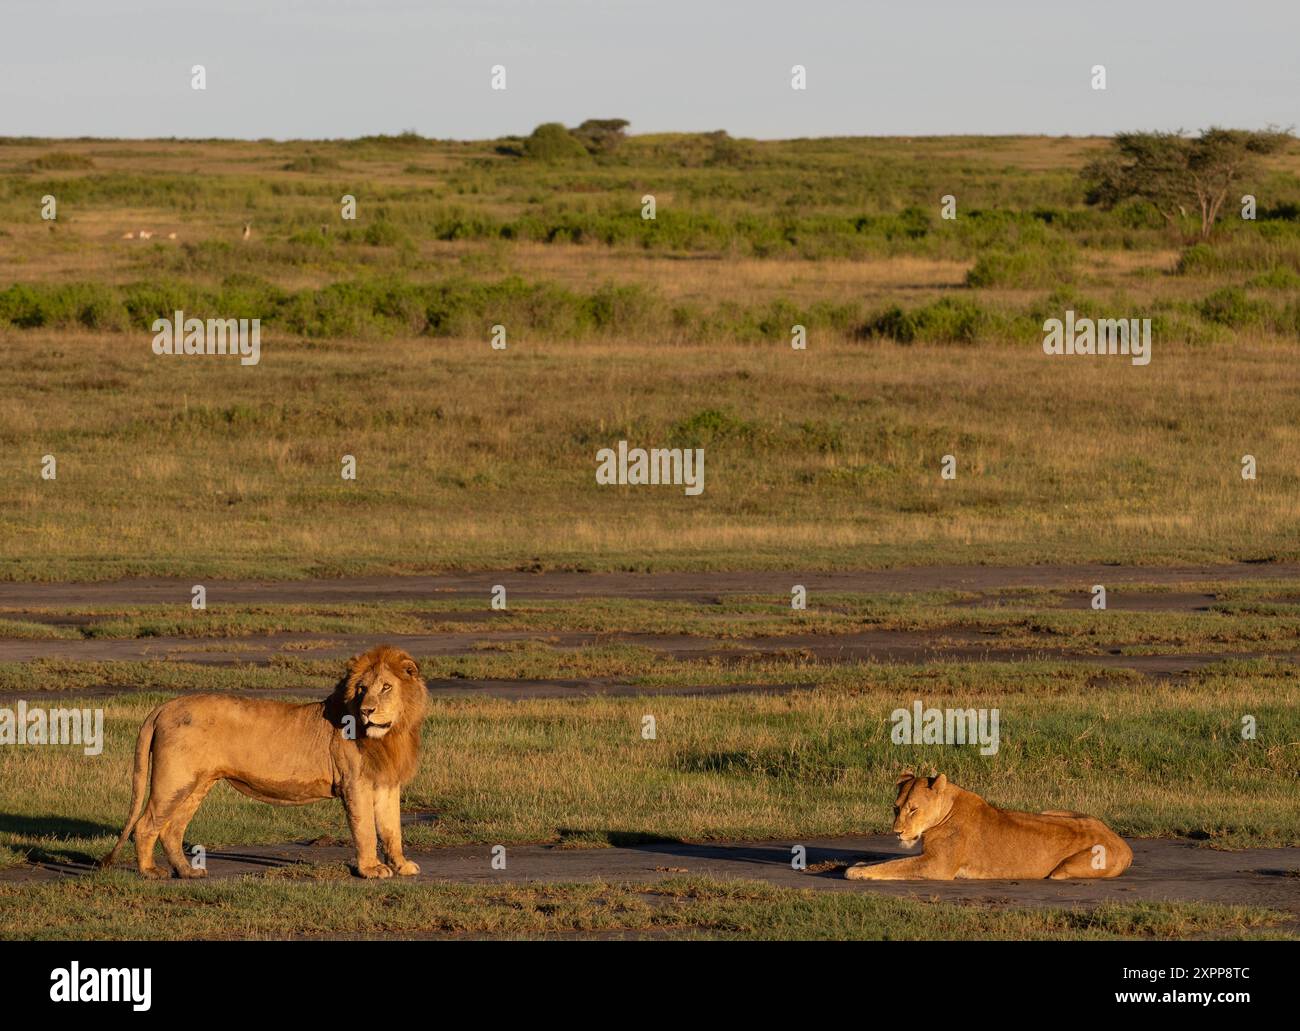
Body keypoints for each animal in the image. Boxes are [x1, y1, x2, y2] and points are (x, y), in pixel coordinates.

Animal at [101, 645, 428, 879]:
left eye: (385, 687)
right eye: (361, 689)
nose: (367, 711)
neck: (390, 735)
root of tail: (165, 706)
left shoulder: (386, 784)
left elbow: (392, 828)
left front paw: (401, 865)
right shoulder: (354, 784)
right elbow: (366, 830)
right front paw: (371, 869)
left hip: (197, 783)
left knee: (171, 829)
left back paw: (187, 872)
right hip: (174, 781)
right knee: (146, 824)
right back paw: (150, 872)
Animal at [844, 772, 1132, 881]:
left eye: (913, 809)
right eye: (896, 808)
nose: (897, 832)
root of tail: (1124, 844)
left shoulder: (936, 865)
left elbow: (897, 865)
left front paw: (855, 872)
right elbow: (891, 860)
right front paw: (861, 863)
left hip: (1064, 869)